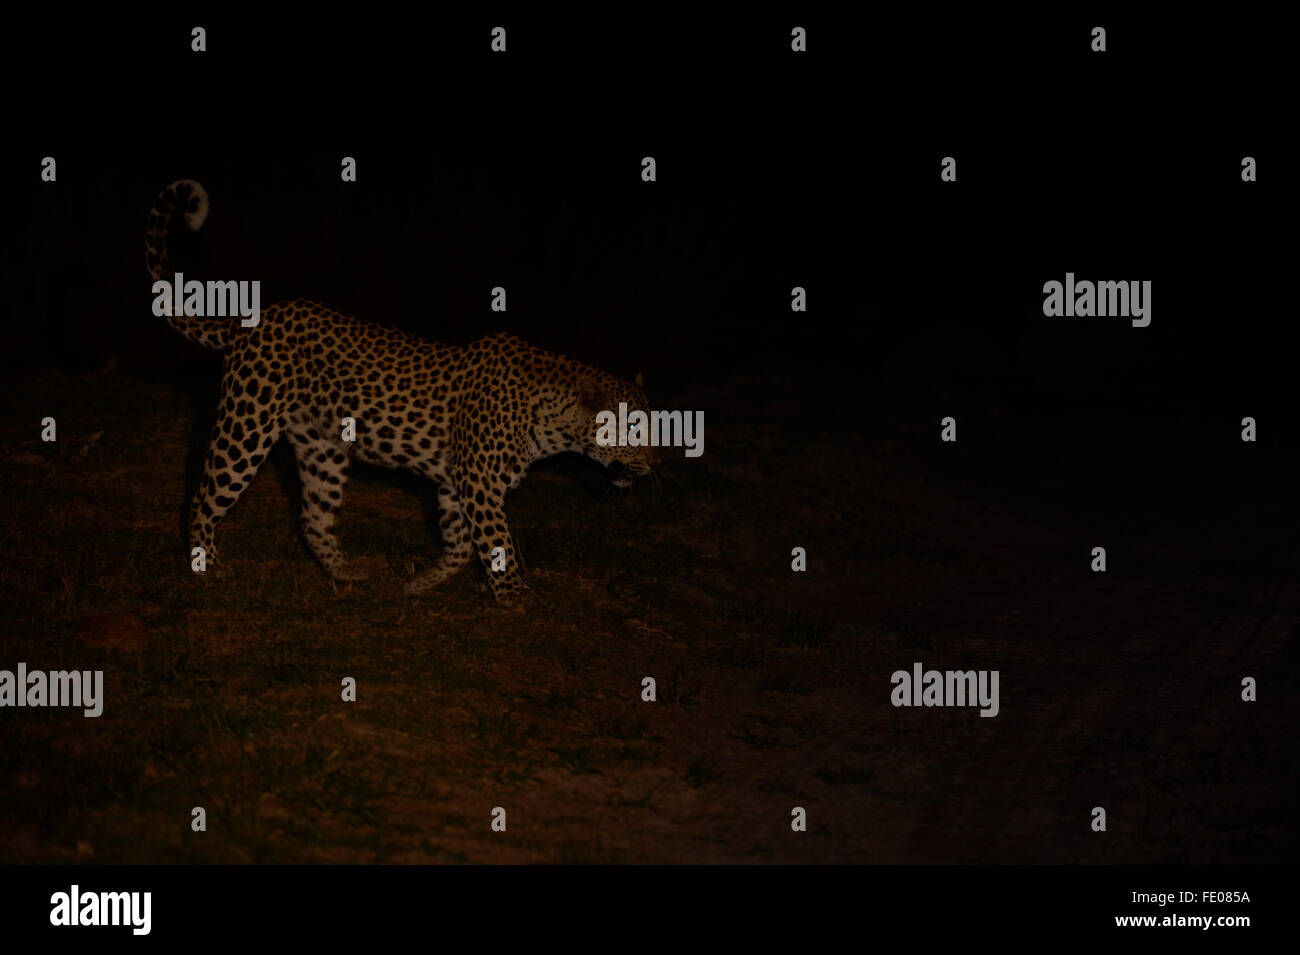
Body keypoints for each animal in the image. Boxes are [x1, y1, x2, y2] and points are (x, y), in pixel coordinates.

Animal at [145, 178, 660, 604]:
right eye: (631, 430)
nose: (654, 466)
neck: (553, 425)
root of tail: (254, 319)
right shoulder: (478, 480)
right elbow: (498, 543)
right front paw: (515, 595)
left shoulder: (456, 484)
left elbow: (461, 546)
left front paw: (422, 583)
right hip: (246, 429)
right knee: (204, 495)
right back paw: (207, 565)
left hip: (322, 449)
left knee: (313, 518)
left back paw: (347, 571)